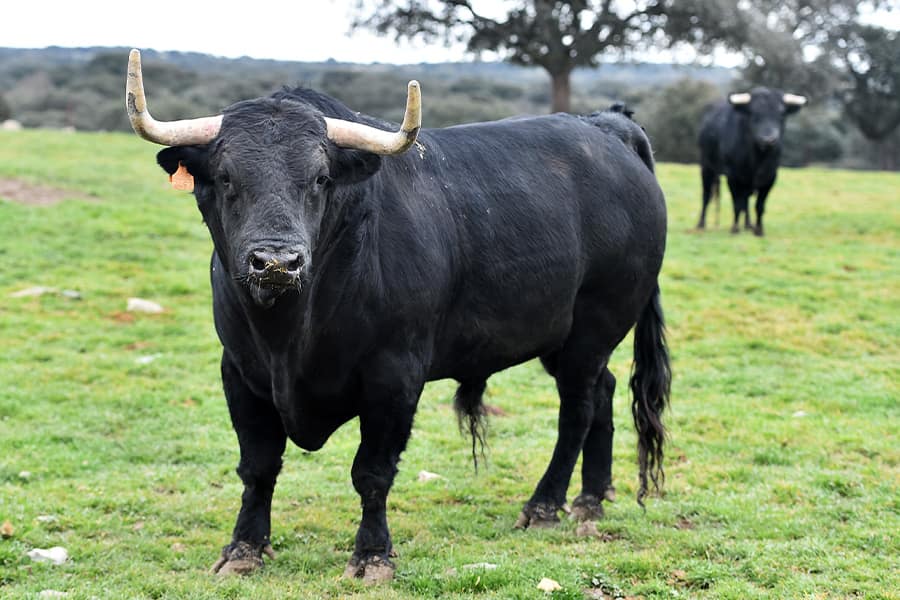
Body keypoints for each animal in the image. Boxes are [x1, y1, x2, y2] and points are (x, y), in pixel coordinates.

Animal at [124, 49, 671, 582]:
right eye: (225, 177)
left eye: (320, 178)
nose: (277, 262)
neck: (290, 334)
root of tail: (606, 127)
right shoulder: (240, 372)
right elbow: (257, 465)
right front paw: (244, 548)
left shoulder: (395, 376)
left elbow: (372, 472)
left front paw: (372, 555)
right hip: (568, 338)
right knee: (602, 392)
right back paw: (591, 499)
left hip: (593, 328)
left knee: (576, 409)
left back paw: (545, 505)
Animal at [696, 87, 807, 236]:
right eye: (754, 114)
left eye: (781, 114)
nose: (768, 140)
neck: (757, 159)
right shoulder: (733, 177)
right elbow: (737, 204)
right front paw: (735, 228)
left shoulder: (770, 177)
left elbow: (759, 205)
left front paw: (759, 229)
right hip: (707, 167)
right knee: (706, 195)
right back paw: (701, 224)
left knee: (746, 200)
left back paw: (748, 225)